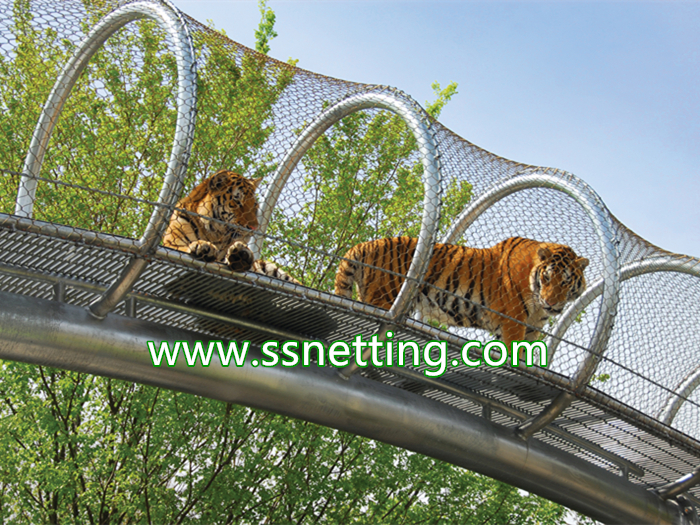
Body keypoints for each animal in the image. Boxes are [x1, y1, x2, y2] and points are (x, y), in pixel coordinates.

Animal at [163, 169, 300, 285]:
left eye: (254, 205)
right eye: (237, 200)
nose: (254, 228)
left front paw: (241, 255)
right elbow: (182, 248)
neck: (213, 233)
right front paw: (202, 246)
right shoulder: (172, 244)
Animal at [334, 236, 588, 349]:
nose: (551, 303)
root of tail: (365, 244)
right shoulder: (513, 324)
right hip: (383, 300)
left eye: (566, 282)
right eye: (547, 278)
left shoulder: (532, 330)